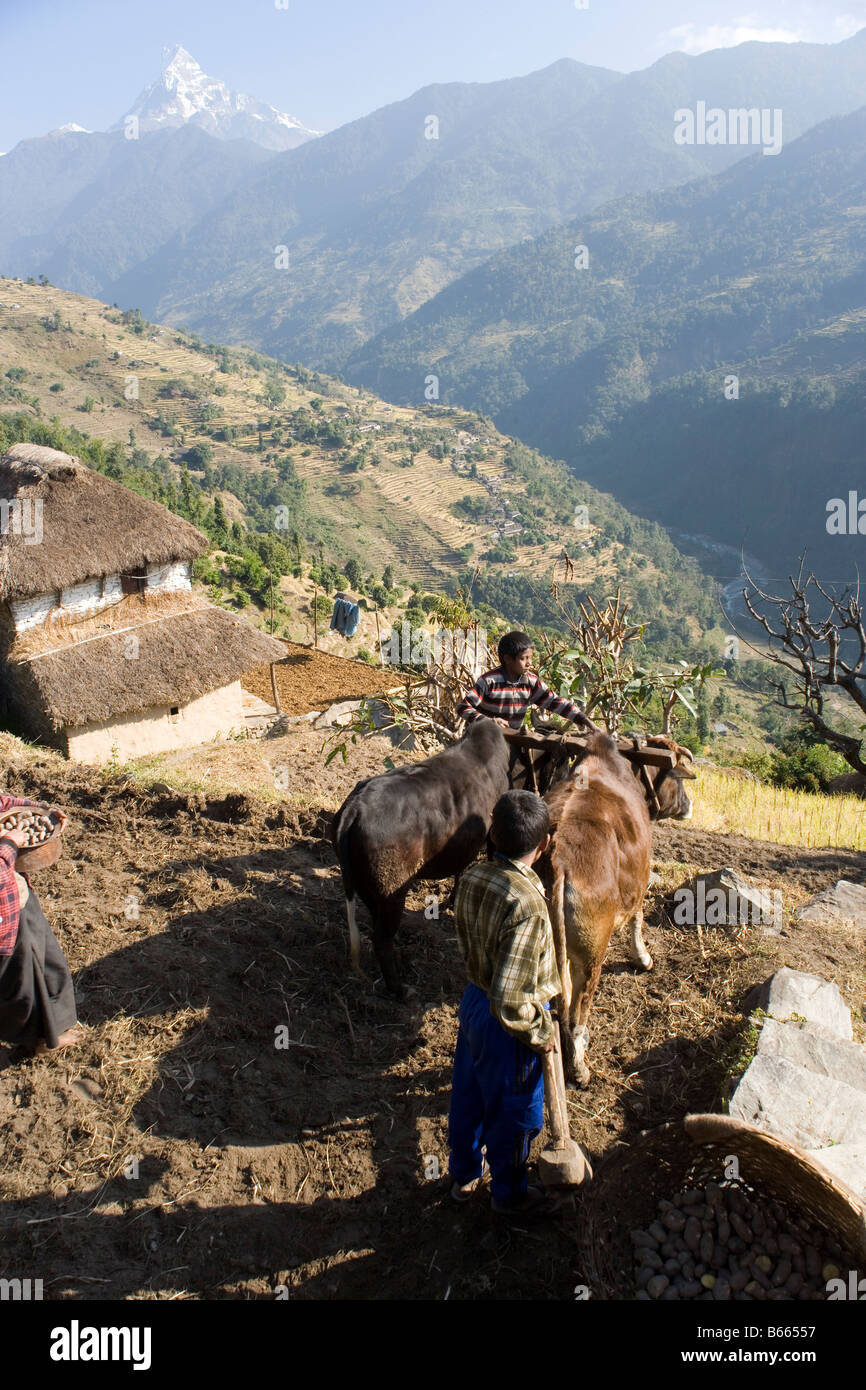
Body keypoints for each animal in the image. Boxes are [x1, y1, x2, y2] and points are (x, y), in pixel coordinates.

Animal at [331, 718, 510, 996]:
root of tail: (355, 807)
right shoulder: (491, 836)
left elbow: (461, 868)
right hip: (392, 889)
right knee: (381, 939)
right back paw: (400, 990)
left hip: (367, 886)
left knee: (376, 923)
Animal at [538, 732, 696, 1086]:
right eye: (678, 777)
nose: (689, 805)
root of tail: (557, 859)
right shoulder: (640, 877)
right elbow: (638, 917)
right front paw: (643, 958)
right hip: (591, 956)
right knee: (576, 1010)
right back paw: (579, 1068)